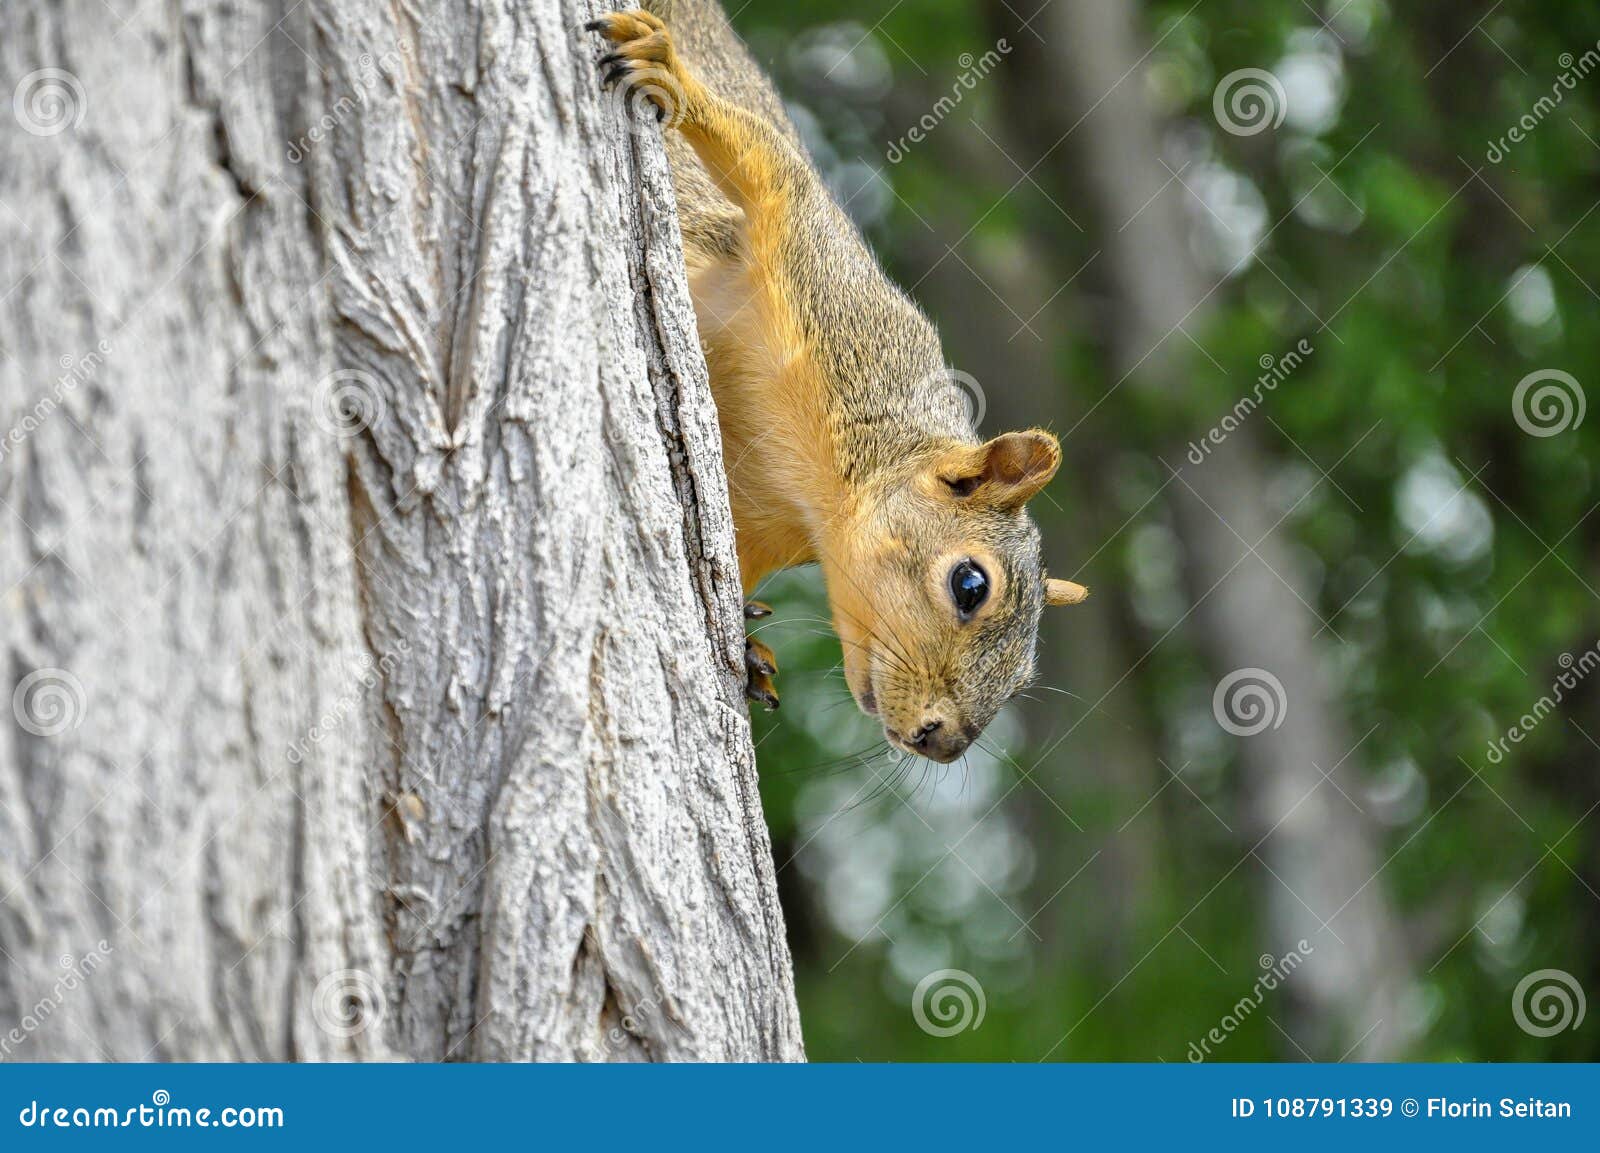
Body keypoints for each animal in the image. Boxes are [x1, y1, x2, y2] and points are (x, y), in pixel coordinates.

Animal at [588, 3, 1088, 762]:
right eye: (970, 583)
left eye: (1024, 675)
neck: (811, 489)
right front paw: (667, 71)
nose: (946, 743)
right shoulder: (823, 281)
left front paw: (751, 646)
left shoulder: (759, 527)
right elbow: (768, 163)